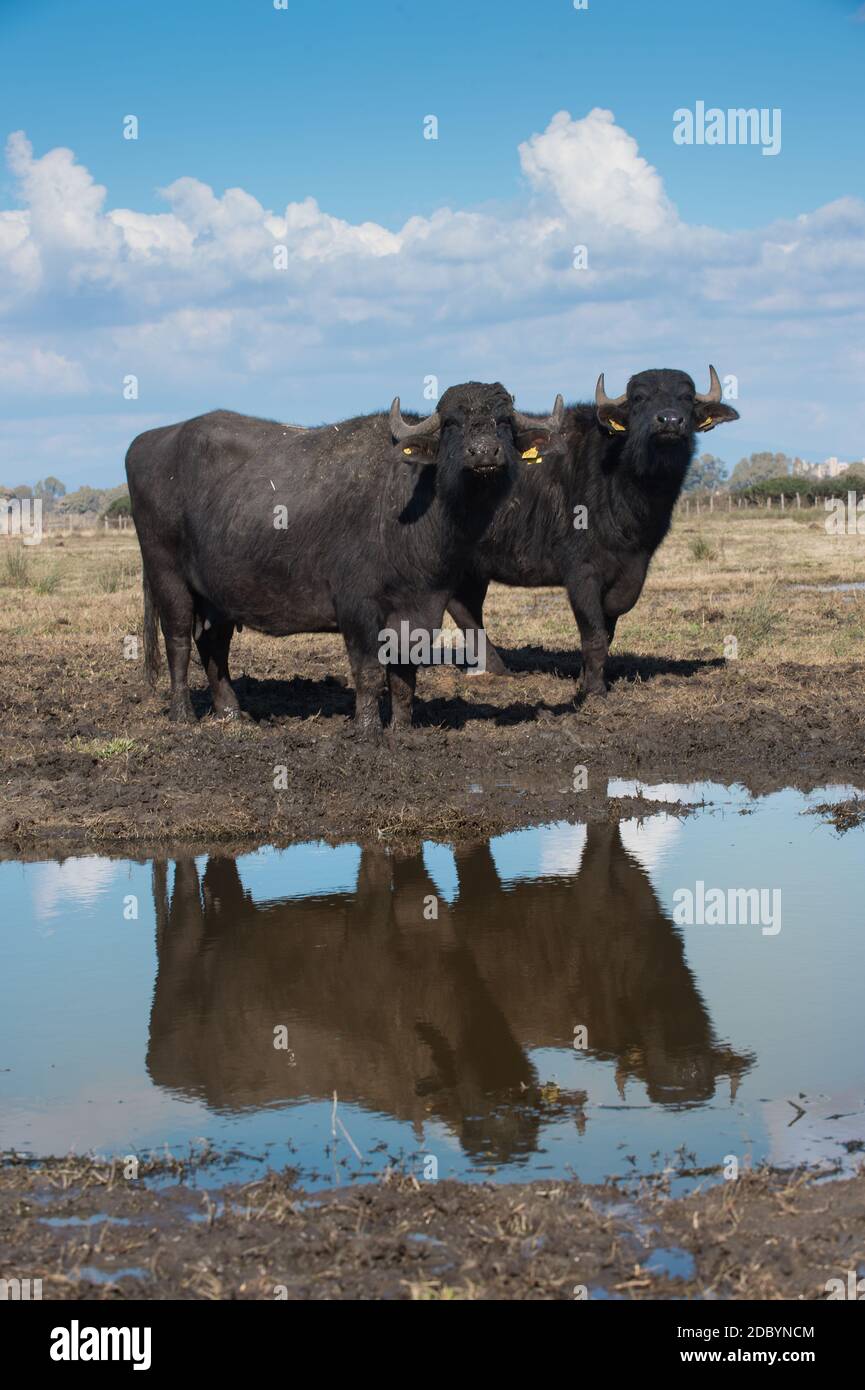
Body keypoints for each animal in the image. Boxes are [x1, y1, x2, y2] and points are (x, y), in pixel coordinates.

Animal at [125, 382, 564, 732]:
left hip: (217, 591)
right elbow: (368, 672)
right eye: (452, 424)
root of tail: (149, 440)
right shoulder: (357, 606)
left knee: (213, 645)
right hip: (167, 575)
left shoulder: (420, 608)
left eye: (503, 421)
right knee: (178, 641)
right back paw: (183, 715)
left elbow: (404, 673)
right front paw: (367, 729)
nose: (484, 452)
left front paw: (402, 727)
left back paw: (232, 713)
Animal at [446, 367, 739, 696]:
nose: (670, 421)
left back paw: (498, 668)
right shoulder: (581, 571)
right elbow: (595, 634)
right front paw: (594, 690)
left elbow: (609, 623)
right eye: (639, 398)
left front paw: (587, 677)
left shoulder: (634, 566)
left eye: (686, 397)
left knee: (464, 607)